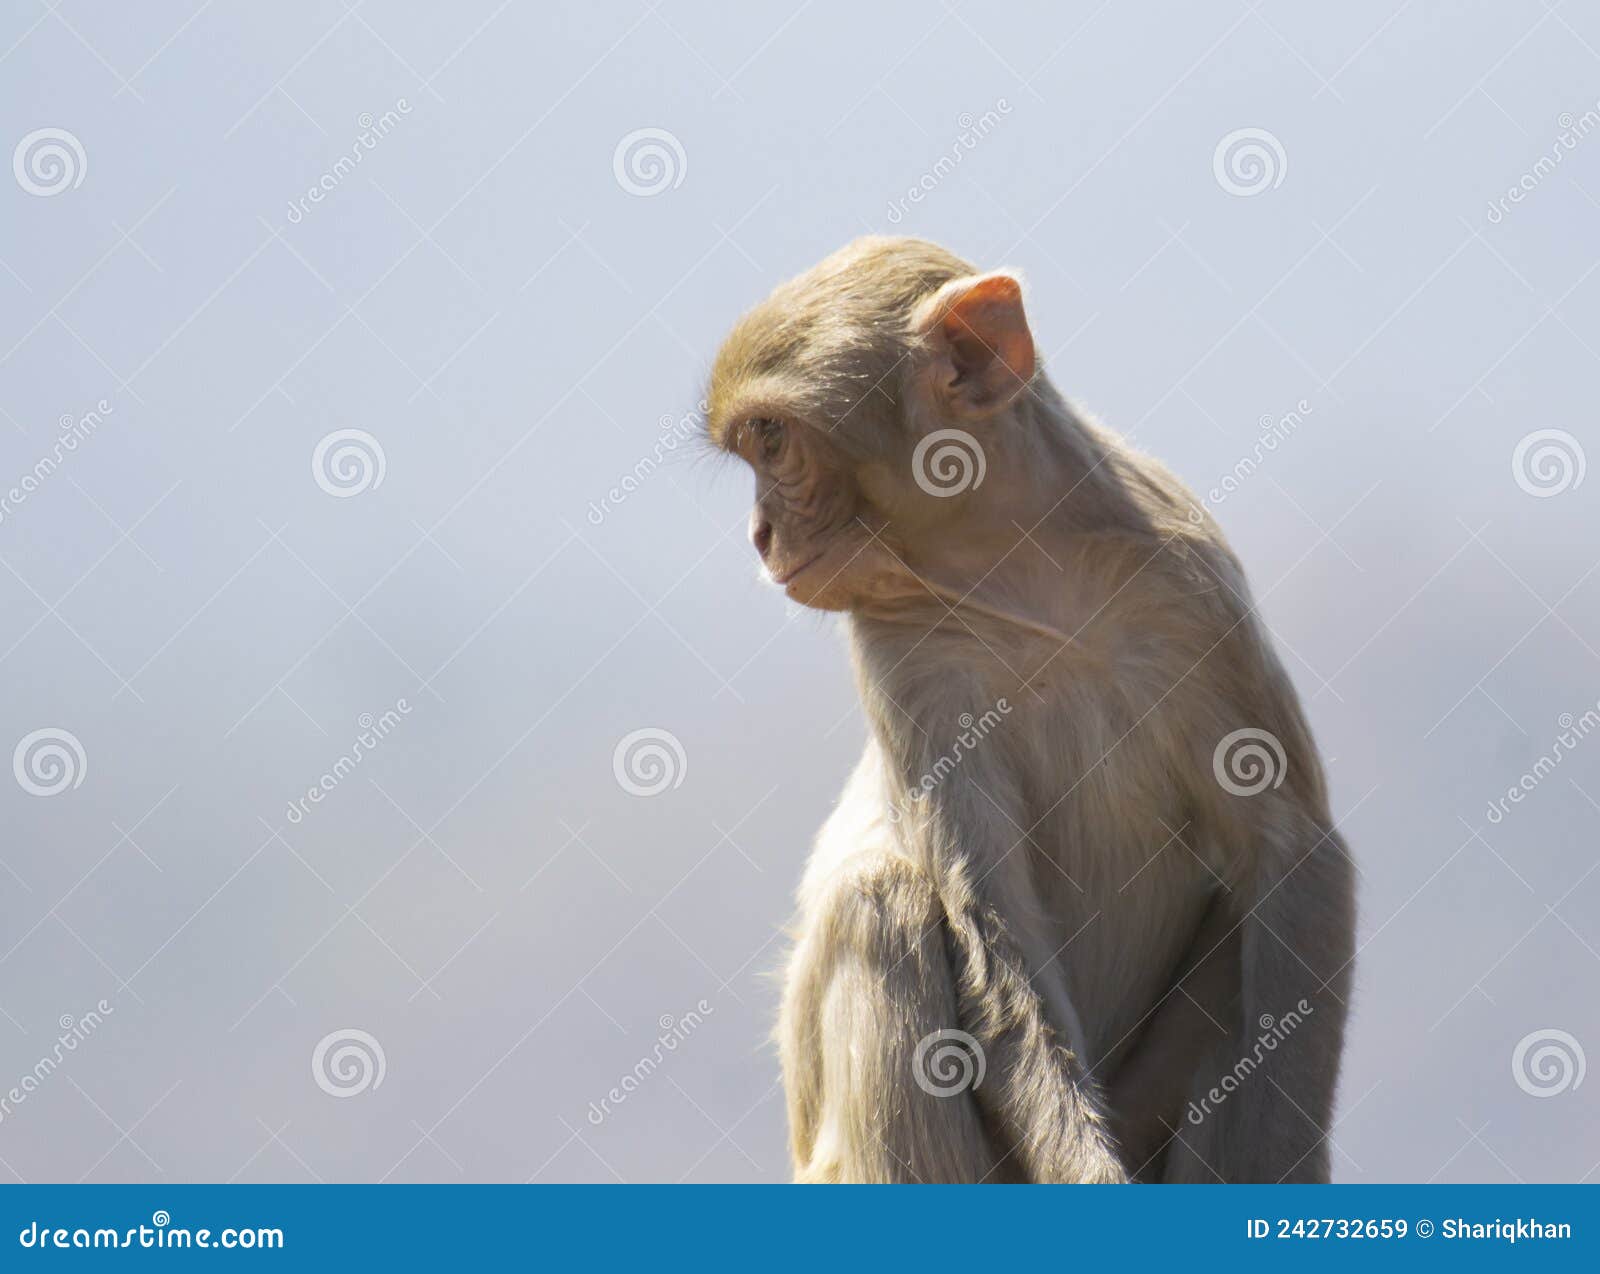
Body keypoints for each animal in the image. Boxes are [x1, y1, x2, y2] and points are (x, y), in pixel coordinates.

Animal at [705, 237, 1355, 1184]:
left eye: (773, 439)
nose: (759, 535)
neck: (1017, 572)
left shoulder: (1192, 585)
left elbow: (1290, 855)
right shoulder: (904, 660)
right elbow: (991, 929)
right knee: (880, 900)